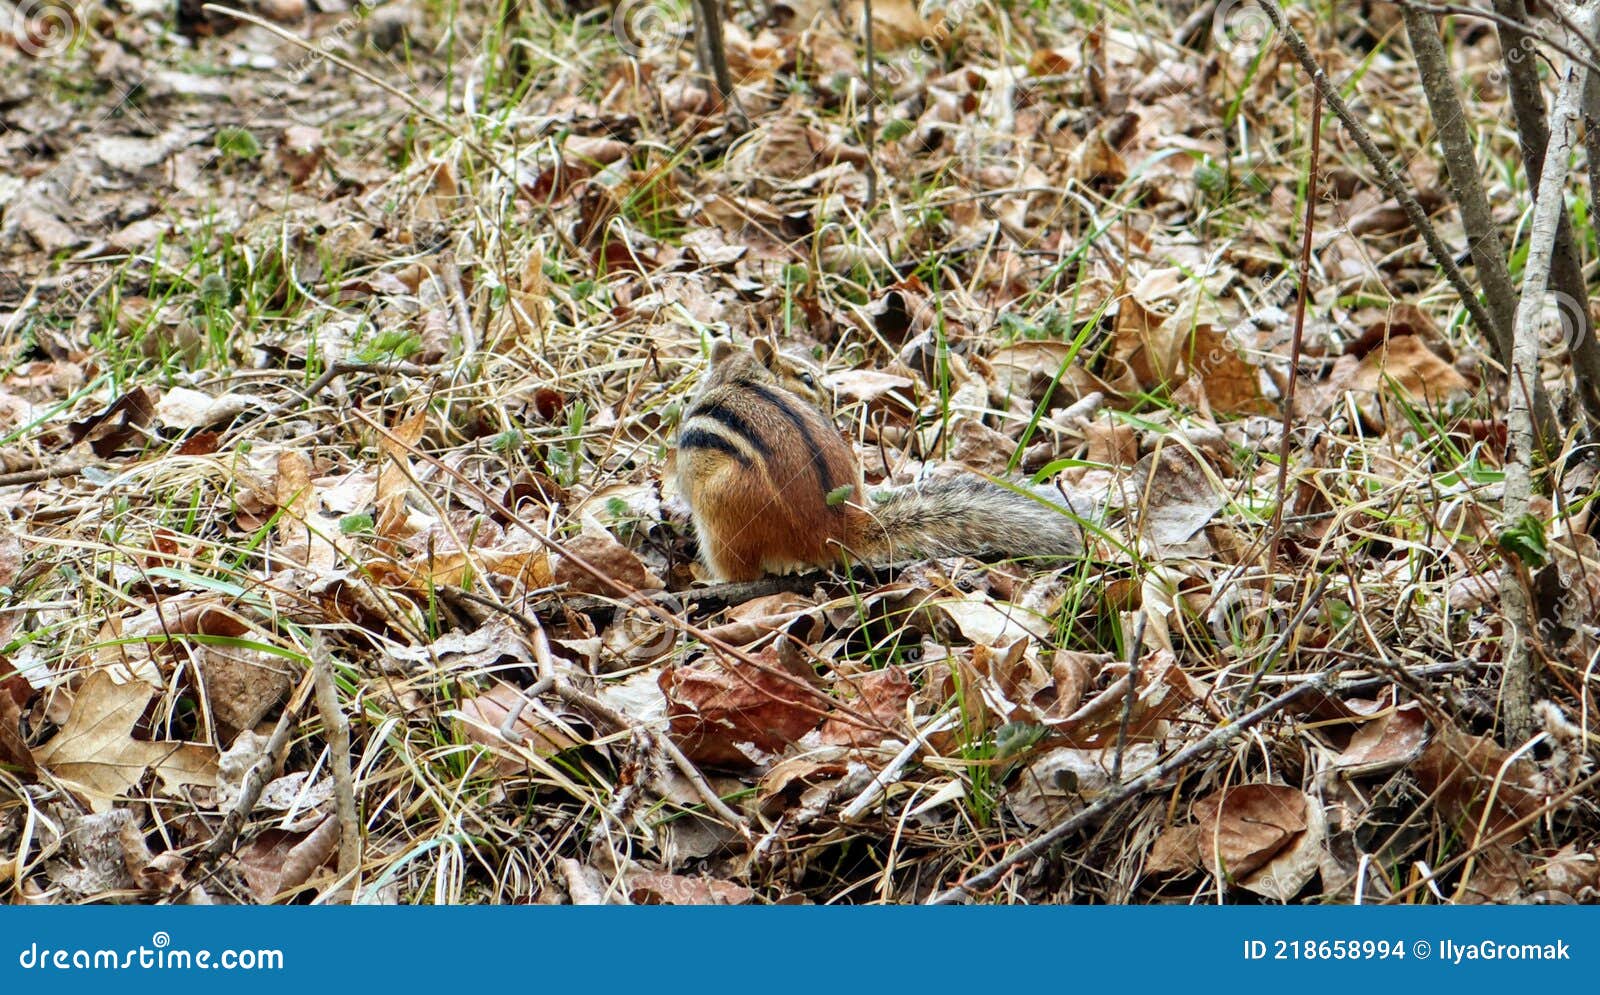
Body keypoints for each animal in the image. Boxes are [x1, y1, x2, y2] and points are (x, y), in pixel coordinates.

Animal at [674, 338, 1086, 582]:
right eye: (807, 378)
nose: (832, 402)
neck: (736, 380)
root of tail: (833, 526)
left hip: (716, 516)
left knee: (740, 571)